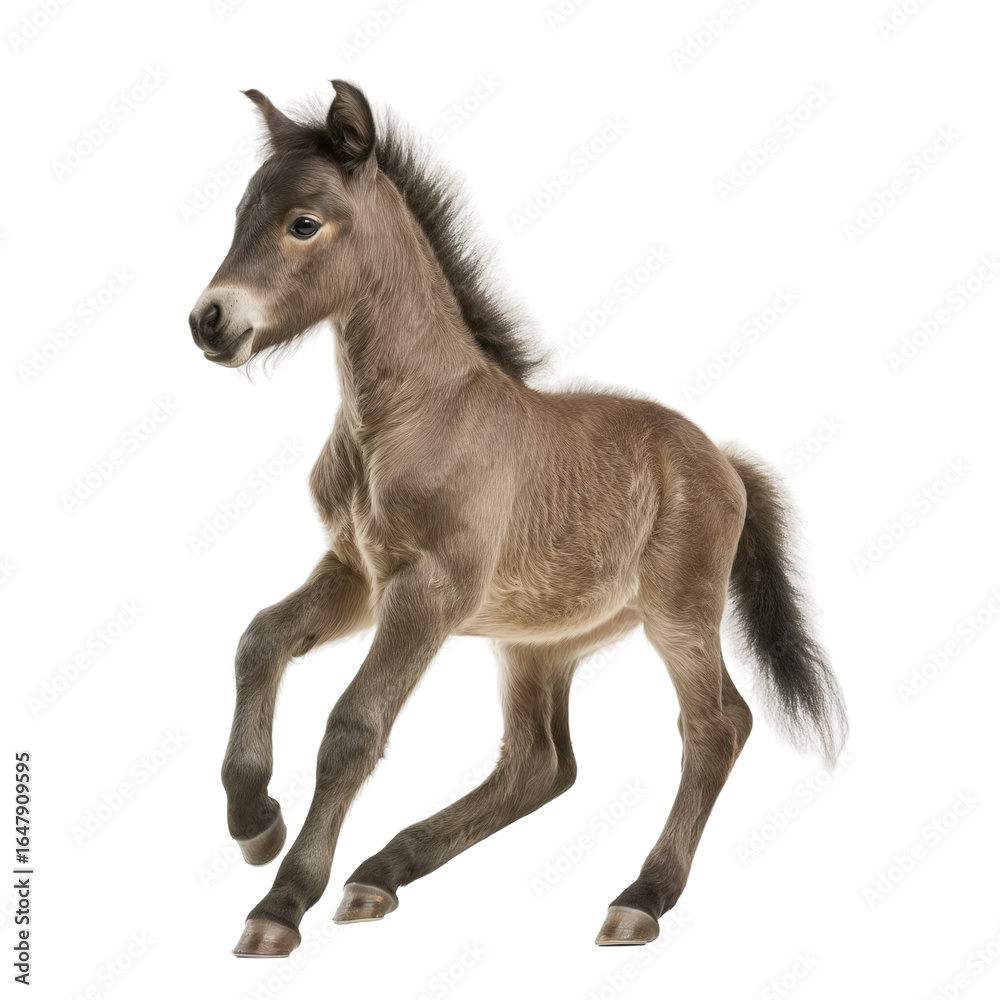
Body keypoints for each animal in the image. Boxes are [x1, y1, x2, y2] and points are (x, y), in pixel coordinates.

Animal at [188, 79, 847, 958]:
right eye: (238, 215)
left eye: (303, 223)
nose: (210, 321)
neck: (407, 418)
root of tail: (721, 457)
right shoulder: (358, 575)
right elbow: (259, 639)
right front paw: (254, 819)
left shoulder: (430, 590)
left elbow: (353, 726)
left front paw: (282, 901)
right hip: (540, 641)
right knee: (540, 762)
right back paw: (382, 871)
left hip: (678, 611)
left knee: (716, 725)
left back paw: (640, 898)